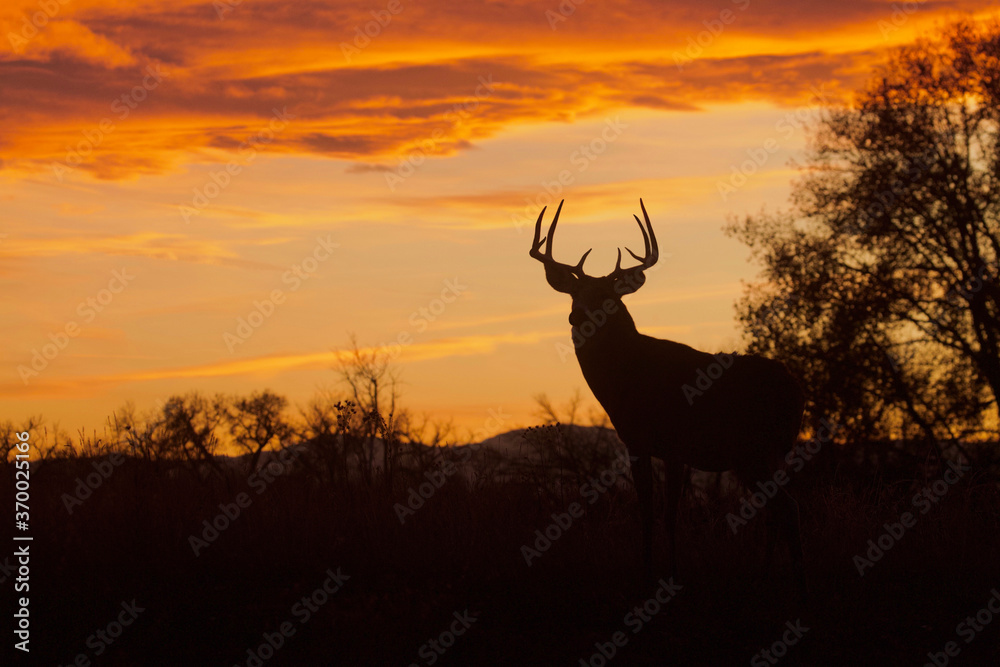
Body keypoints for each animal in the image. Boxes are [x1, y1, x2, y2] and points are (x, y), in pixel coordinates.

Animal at [529, 199, 806, 590]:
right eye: (574, 293)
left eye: (608, 295)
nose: (576, 316)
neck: (628, 380)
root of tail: (796, 391)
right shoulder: (636, 444)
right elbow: (646, 512)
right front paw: (647, 576)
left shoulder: (675, 445)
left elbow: (670, 514)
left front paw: (672, 577)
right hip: (763, 453)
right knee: (775, 511)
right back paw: (764, 578)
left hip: (756, 448)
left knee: (788, 508)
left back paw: (797, 585)